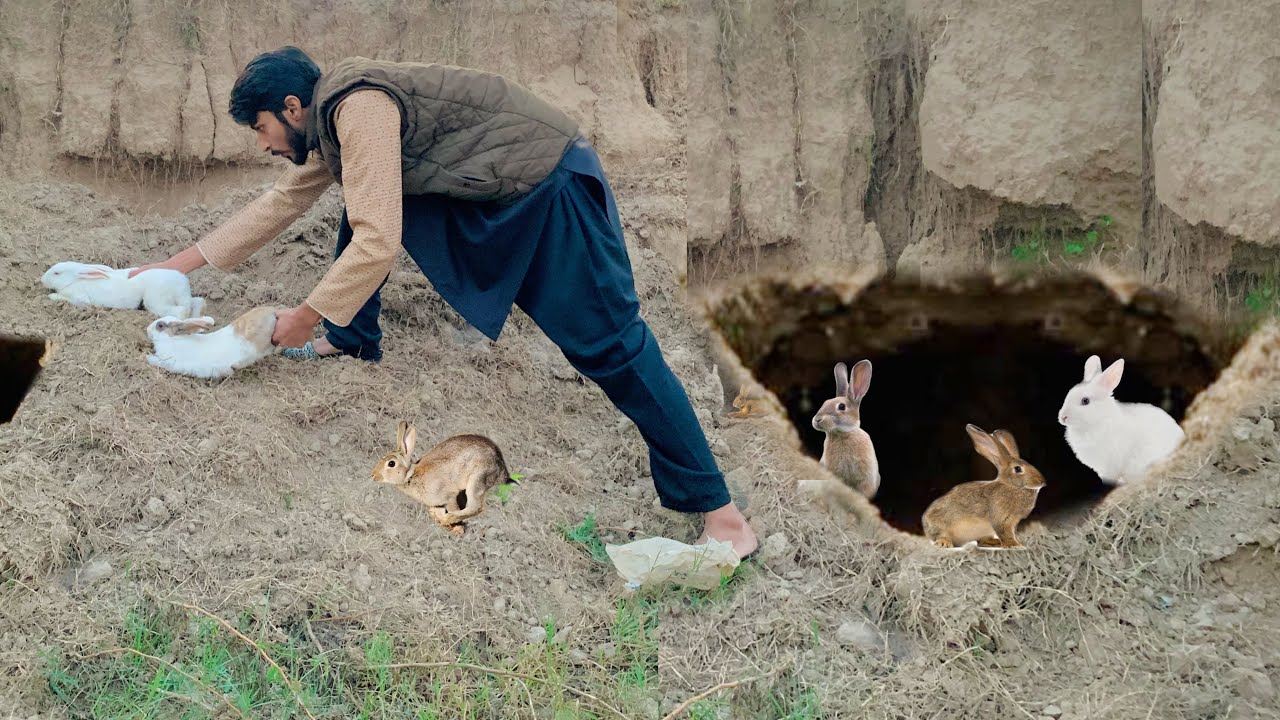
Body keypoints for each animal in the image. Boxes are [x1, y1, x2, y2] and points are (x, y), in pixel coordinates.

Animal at [42, 261, 205, 319]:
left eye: (57, 273)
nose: (42, 279)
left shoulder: (80, 298)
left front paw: (52, 296)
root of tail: (181, 283)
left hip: (156, 300)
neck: (74, 280)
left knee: (180, 312)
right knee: (197, 302)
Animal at [145, 306, 279, 379]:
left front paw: (147, 357)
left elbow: (156, 360)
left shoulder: (169, 362)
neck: (170, 339)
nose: (147, 330)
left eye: (160, 325)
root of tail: (274, 311)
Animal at [371, 420, 512, 536]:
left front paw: (457, 529)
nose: (373, 475)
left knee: (476, 507)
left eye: (391, 464)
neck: (411, 476)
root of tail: (502, 469)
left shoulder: (449, 496)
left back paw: (448, 519)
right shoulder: (437, 504)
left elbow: (454, 507)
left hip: (476, 480)